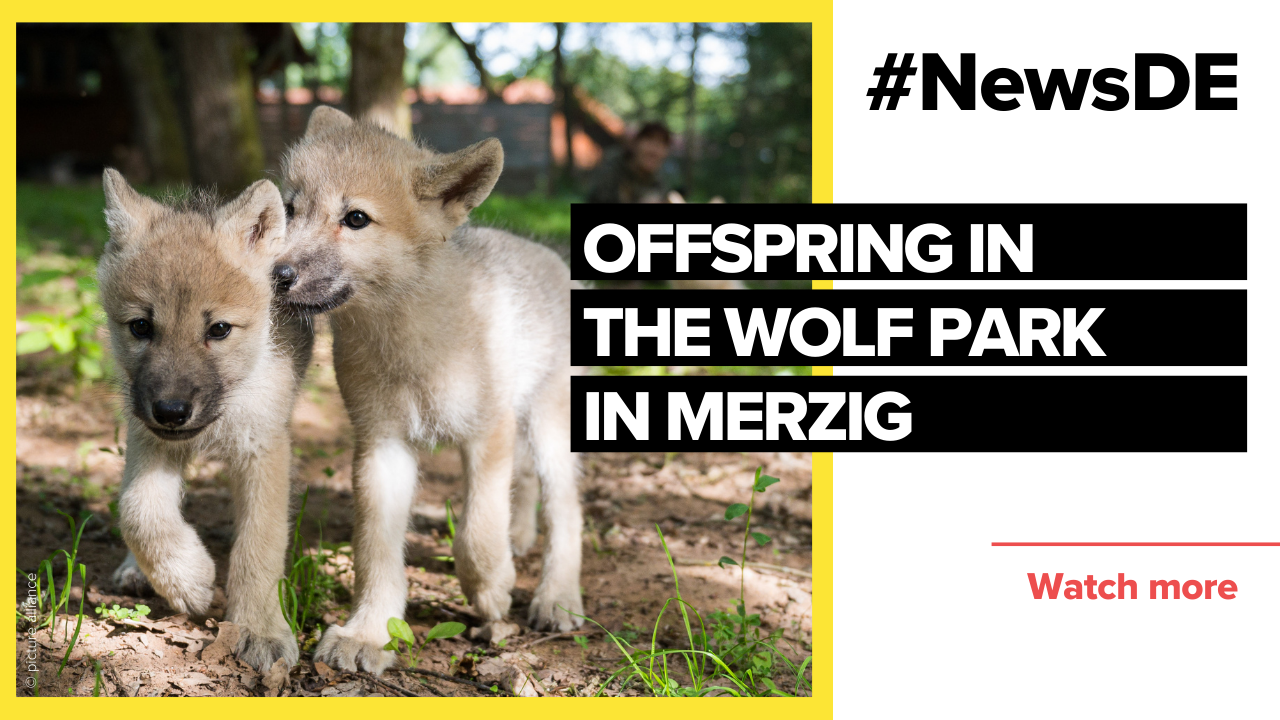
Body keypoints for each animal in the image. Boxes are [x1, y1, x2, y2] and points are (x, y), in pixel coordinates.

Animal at [98, 169, 313, 672]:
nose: (172, 412)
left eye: (218, 329)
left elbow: (259, 546)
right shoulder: (149, 438)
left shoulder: (264, 448)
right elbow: (138, 511)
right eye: (140, 327)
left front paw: (259, 628)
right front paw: (190, 580)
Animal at [273, 107, 582, 674]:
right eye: (290, 207)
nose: (275, 275)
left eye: (355, 219)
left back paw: (558, 598)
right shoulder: (381, 446)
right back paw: (521, 539)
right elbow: (374, 553)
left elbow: (477, 537)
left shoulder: (488, 434)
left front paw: (491, 593)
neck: (410, 343)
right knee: (527, 488)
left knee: (566, 510)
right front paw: (369, 633)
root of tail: (552, 258)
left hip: (549, 428)